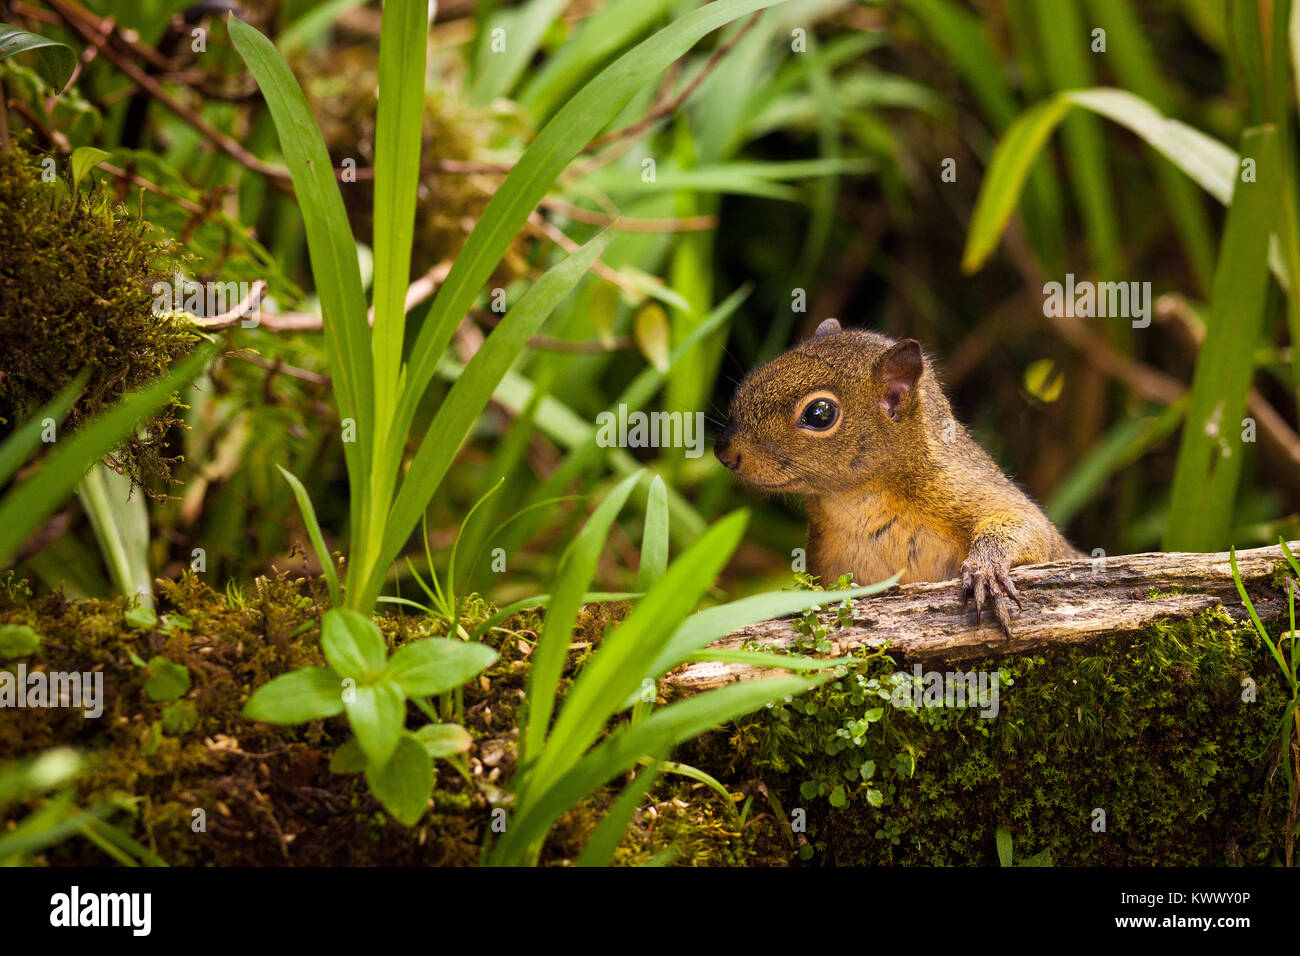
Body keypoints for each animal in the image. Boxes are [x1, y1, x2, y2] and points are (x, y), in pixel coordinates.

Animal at [714, 318, 1081, 634]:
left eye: (820, 414)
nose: (724, 451)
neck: (857, 501)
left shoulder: (964, 486)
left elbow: (1028, 525)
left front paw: (986, 570)